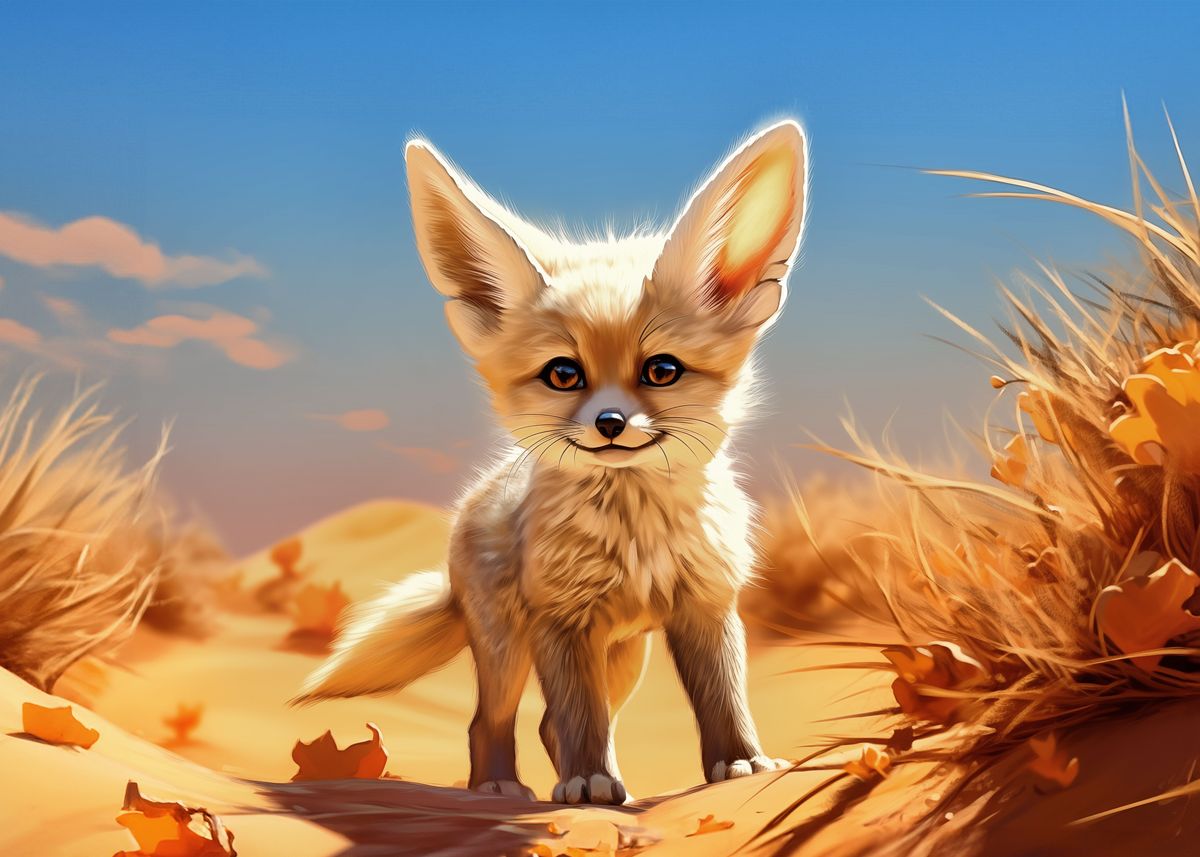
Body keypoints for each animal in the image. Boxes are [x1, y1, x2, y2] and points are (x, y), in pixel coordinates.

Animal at [295, 119, 809, 806]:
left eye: (662, 370)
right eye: (564, 374)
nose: (610, 424)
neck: (637, 536)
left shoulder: (707, 603)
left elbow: (723, 700)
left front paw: (743, 764)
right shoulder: (561, 621)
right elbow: (578, 717)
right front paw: (588, 782)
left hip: (625, 657)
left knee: (548, 724)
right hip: (512, 646)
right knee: (491, 720)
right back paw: (503, 786)